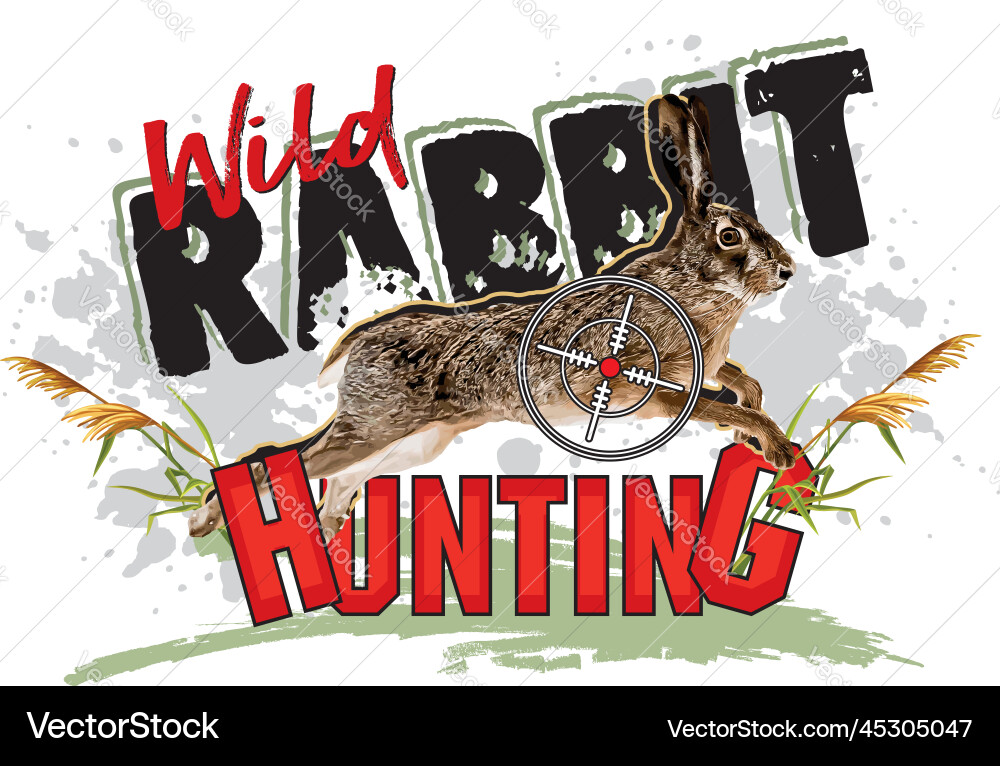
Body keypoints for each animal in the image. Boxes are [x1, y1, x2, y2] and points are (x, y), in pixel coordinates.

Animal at [187, 93, 798, 540]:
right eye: (730, 237)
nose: (787, 271)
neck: (694, 287)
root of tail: (354, 348)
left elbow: (737, 380)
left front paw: (755, 415)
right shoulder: (650, 387)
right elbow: (719, 406)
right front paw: (777, 447)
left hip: (415, 440)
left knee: (340, 481)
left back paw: (335, 547)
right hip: (375, 427)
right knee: (283, 462)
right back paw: (205, 522)